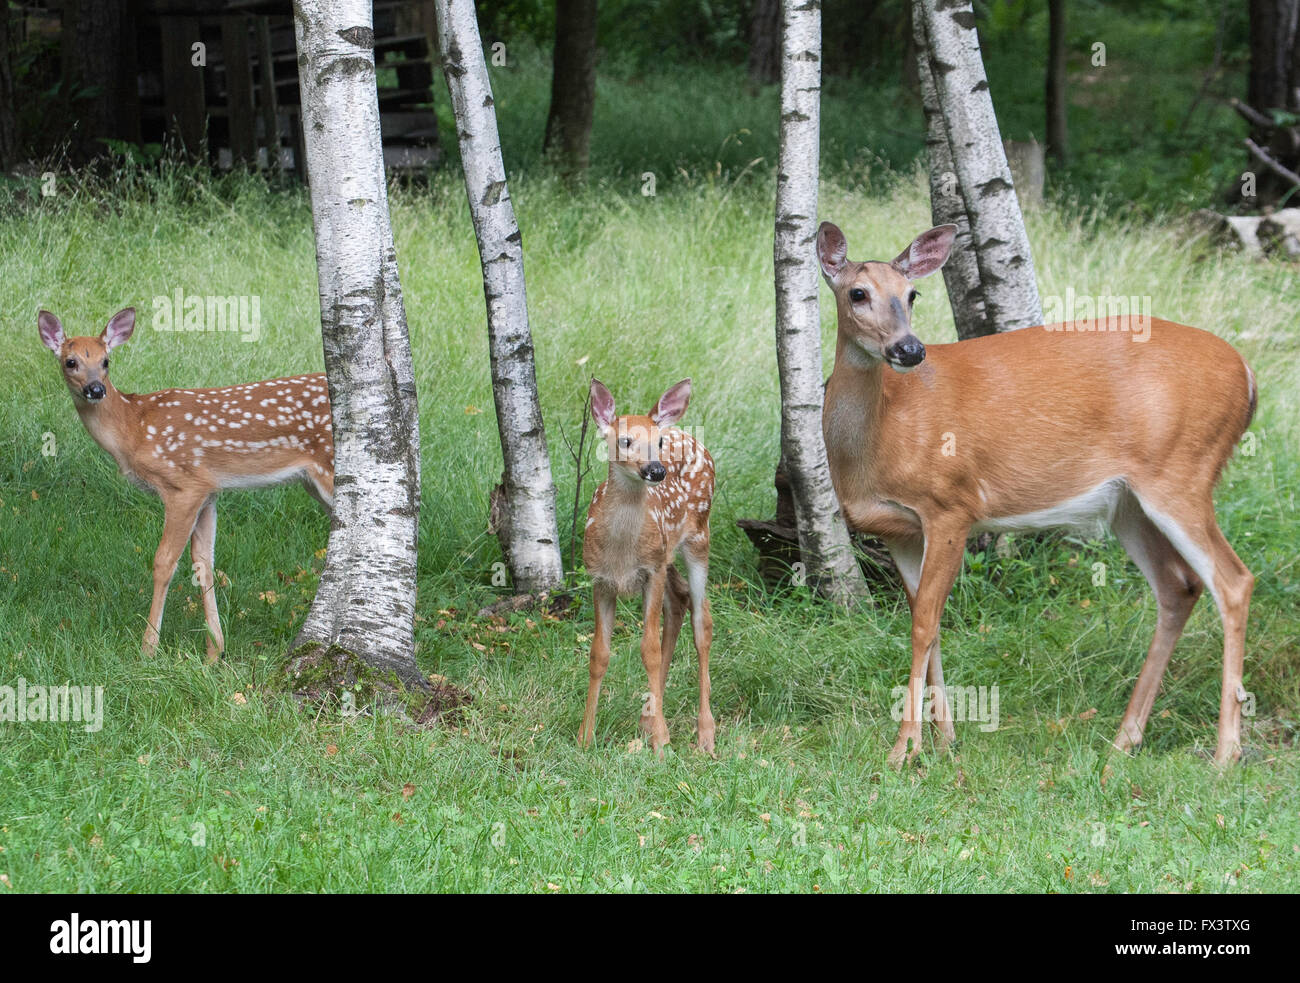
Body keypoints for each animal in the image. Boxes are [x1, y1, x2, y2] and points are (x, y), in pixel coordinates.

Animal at [39, 308, 334, 662]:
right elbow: (204, 563)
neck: (135, 429)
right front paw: (214, 653)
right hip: (312, 483)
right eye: (71, 362)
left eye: (106, 360)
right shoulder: (208, 491)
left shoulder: (183, 485)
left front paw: (148, 649)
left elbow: (164, 562)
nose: (96, 389)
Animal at [579, 378, 716, 755]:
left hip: (698, 537)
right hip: (665, 555)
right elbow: (599, 654)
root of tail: (688, 434)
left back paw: (705, 734)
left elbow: (649, 650)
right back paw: (648, 719)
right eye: (625, 440)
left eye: (658, 442)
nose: (657, 470)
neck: (621, 553)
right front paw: (585, 737)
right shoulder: (600, 580)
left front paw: (662, 743)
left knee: (703, 622)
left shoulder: (650, 573)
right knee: (679, 599)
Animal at [816, 222, 1257, 769]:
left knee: (1233, 581)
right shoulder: (901, 530)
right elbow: (928, 622)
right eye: (857, 293)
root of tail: (1248, 374)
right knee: (1180, 587)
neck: (881, 436)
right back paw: (1123, 741)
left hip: (1182, 472)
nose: (910, 349)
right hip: (1131, 503)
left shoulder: (952, 505)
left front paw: (903, 750)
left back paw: (1224, 753)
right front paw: (944, 741)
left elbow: (923, 624)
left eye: (912, 294)